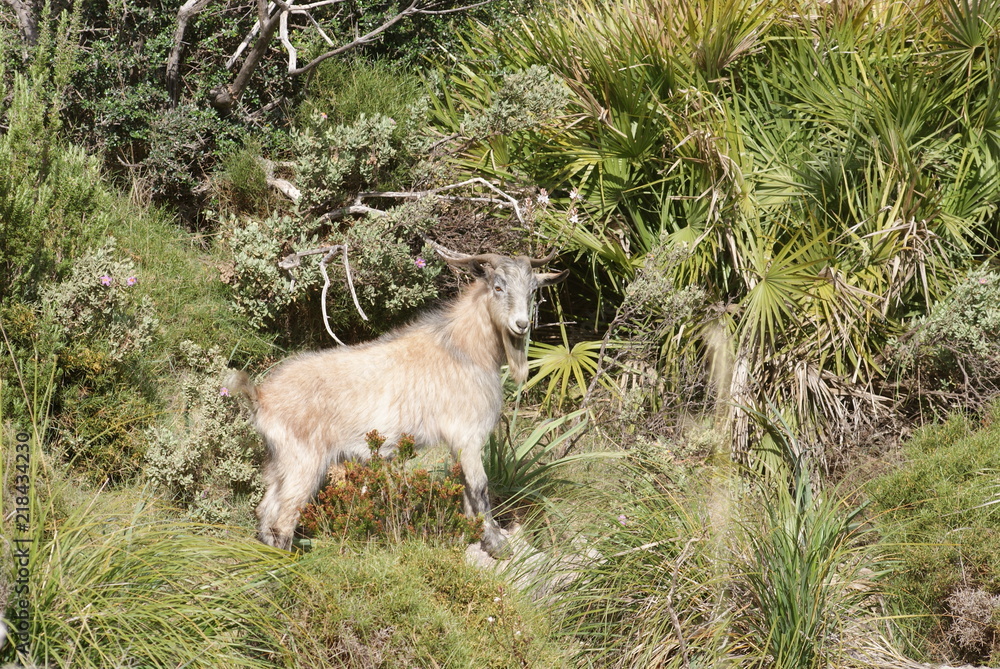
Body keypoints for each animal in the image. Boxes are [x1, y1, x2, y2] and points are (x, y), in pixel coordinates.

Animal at [228, 242, 567, 556]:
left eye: (533, 291)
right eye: (498, 287)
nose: (521, 325)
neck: (464, 349)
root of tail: (261, 396)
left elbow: (465, 487)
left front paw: (471, 535)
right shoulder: (468, 434)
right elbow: (479, 486)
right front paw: (496, 542)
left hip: (279, 460)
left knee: (266, 512)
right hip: (304, 461)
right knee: (283, 519)